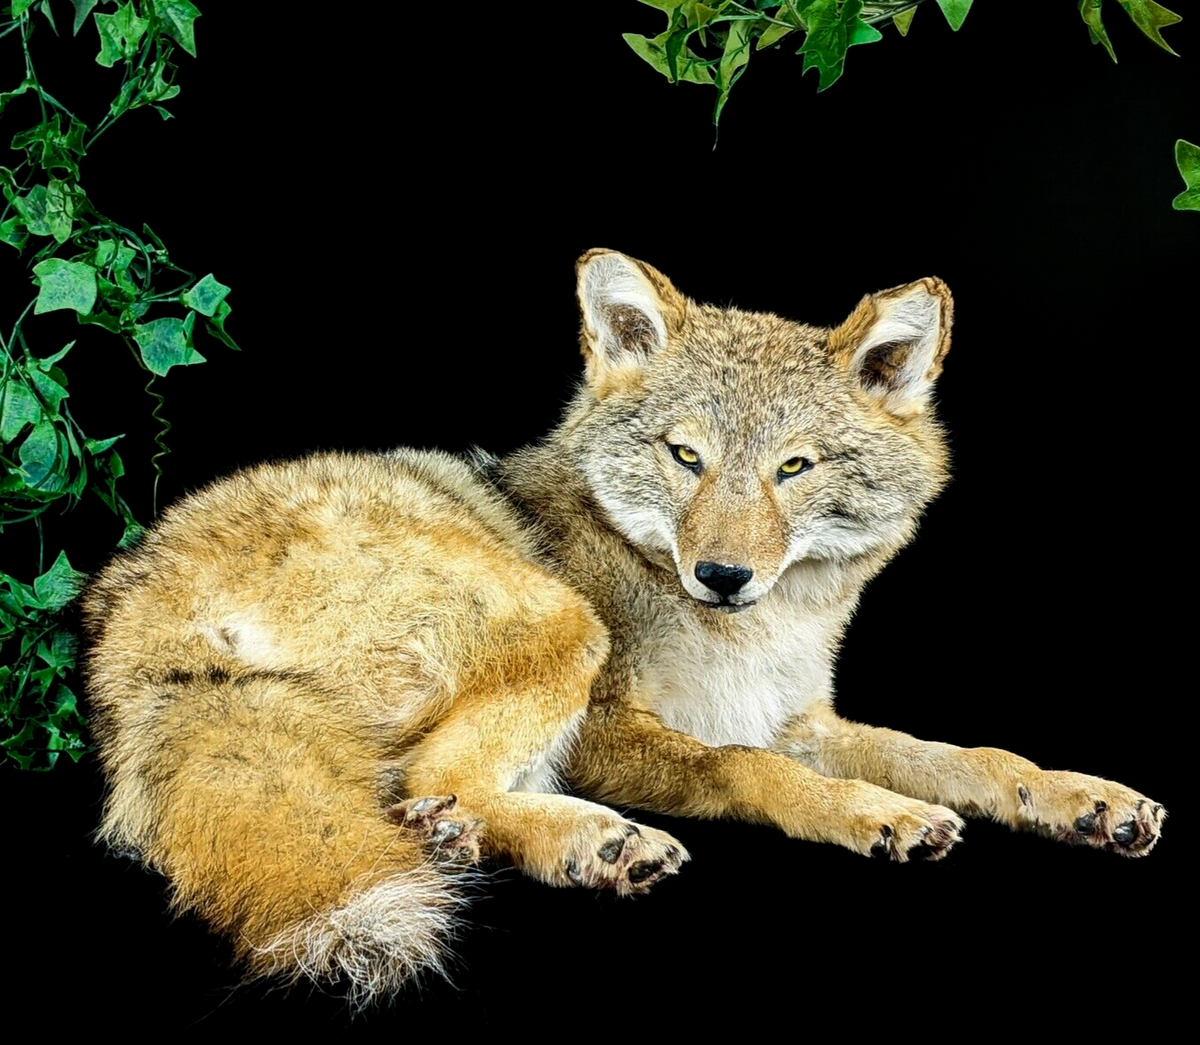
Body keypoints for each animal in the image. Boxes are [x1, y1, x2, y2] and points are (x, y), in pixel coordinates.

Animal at [82, 250, 1165, 1003]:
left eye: (793, 467)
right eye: (687, 457)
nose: (722, 575)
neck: (751, 638)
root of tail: (135, 619)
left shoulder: (801, 721)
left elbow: (964, 754)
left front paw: (1081, 796)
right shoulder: (618, 730)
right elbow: (750, 771)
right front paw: (872, 813)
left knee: (435, 808)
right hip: (561, 625)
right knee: (429, 789)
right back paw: (598, 840)